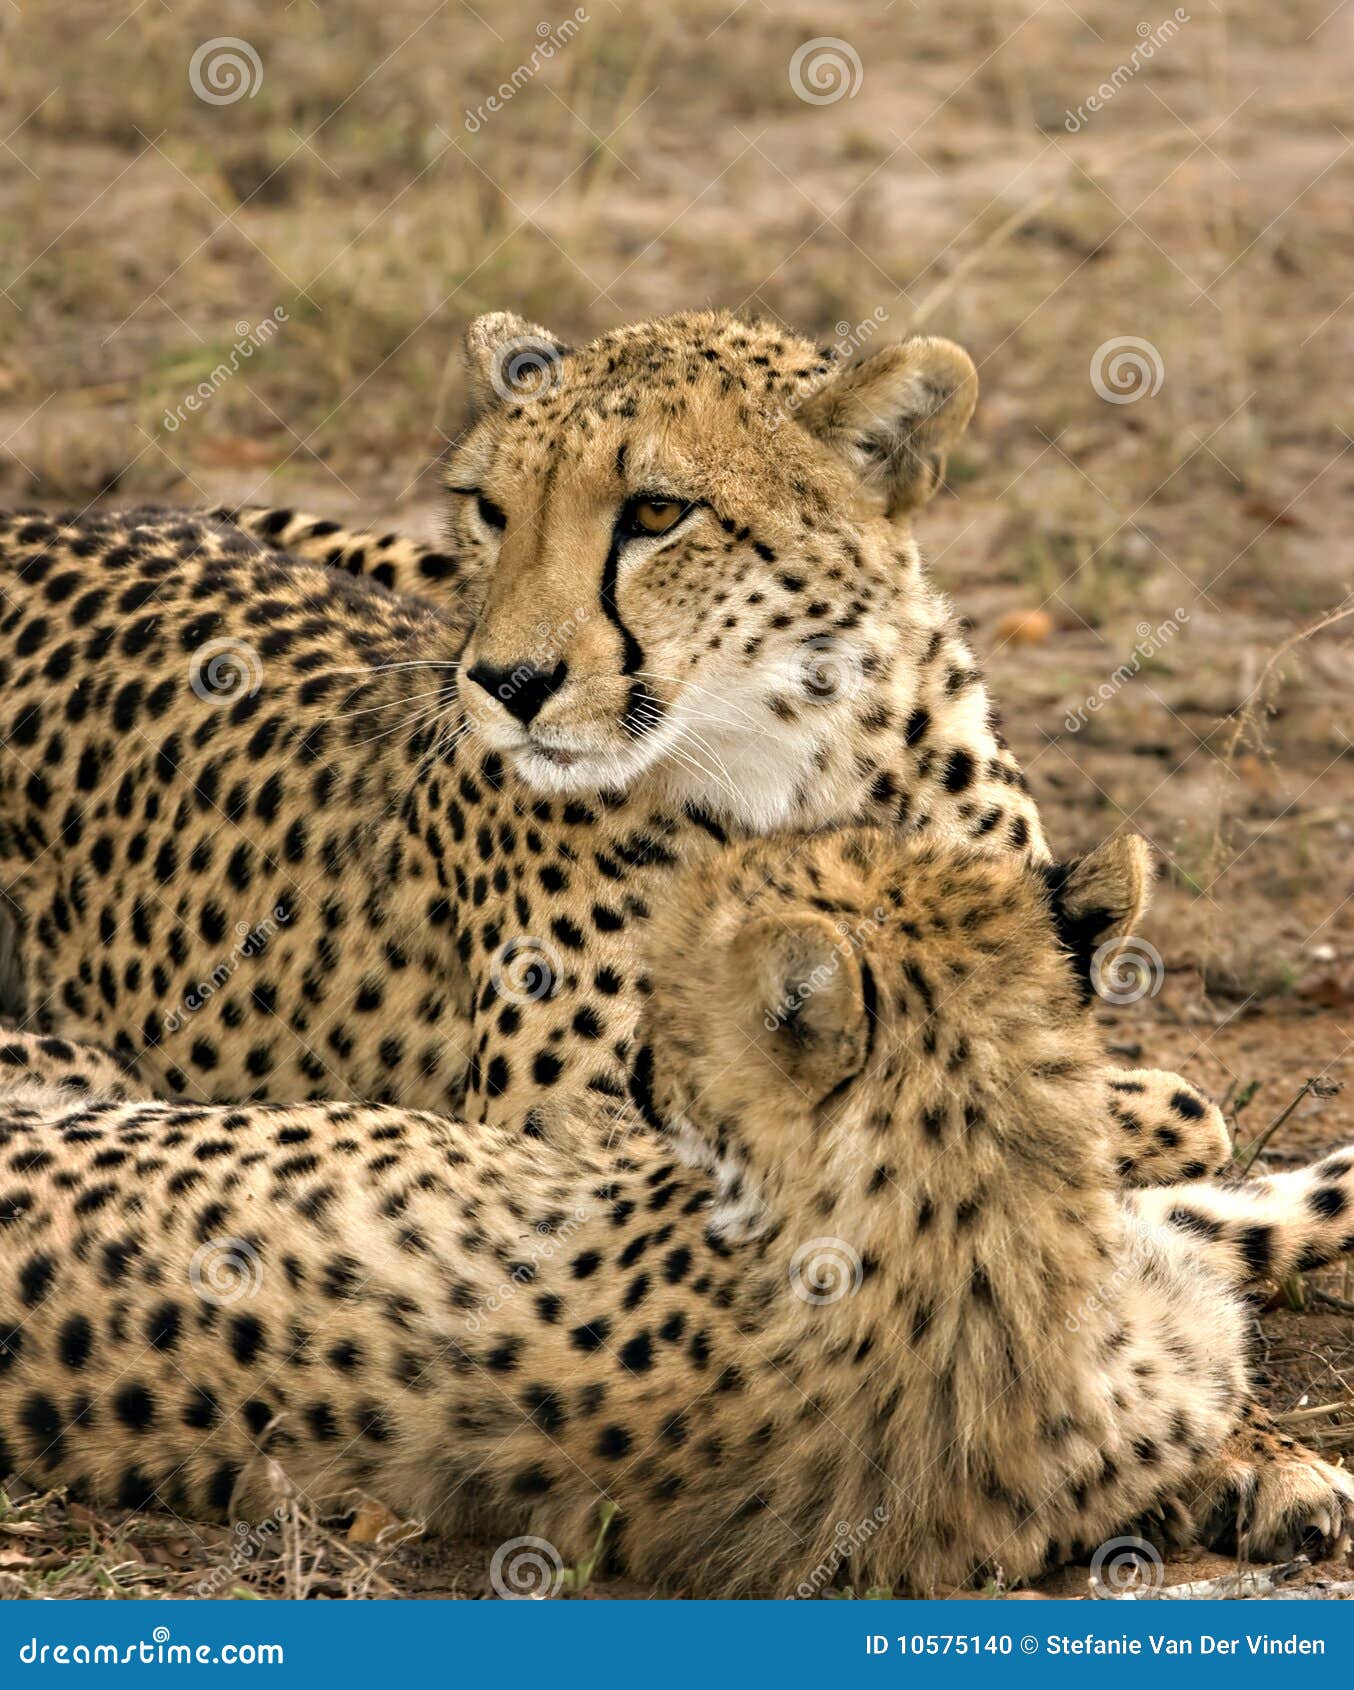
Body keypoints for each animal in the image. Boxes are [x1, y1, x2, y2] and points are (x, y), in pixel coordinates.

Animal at [0, 308, 1216, 1174]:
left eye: (657, 513)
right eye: (491, 509)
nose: (506, 682)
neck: (808, 762)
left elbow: (1176, 1105)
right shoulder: (550, 1106)